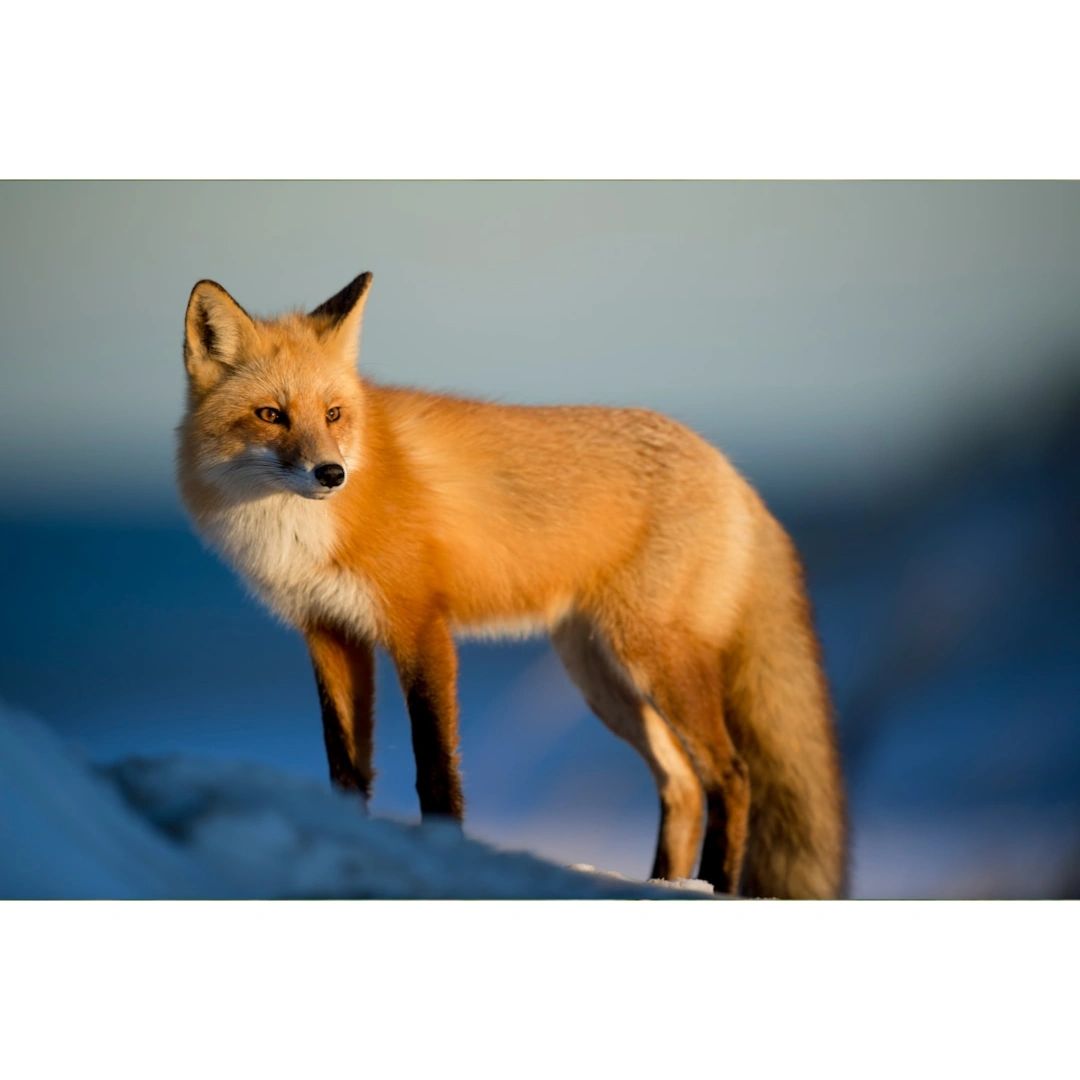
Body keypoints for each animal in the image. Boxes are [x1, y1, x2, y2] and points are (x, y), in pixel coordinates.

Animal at [176, 271, 848, 898]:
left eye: (334, 414)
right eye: (271, 415)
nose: (331, 473)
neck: (298, 532)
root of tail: (731, 471)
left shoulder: (420, 626)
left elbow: (435, 768)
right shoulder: (329, 633)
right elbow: (346, 769)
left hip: (653, 659)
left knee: (731, 776)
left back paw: (713, 886)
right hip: (600, 676)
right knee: (681, 783)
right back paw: (662, 884)